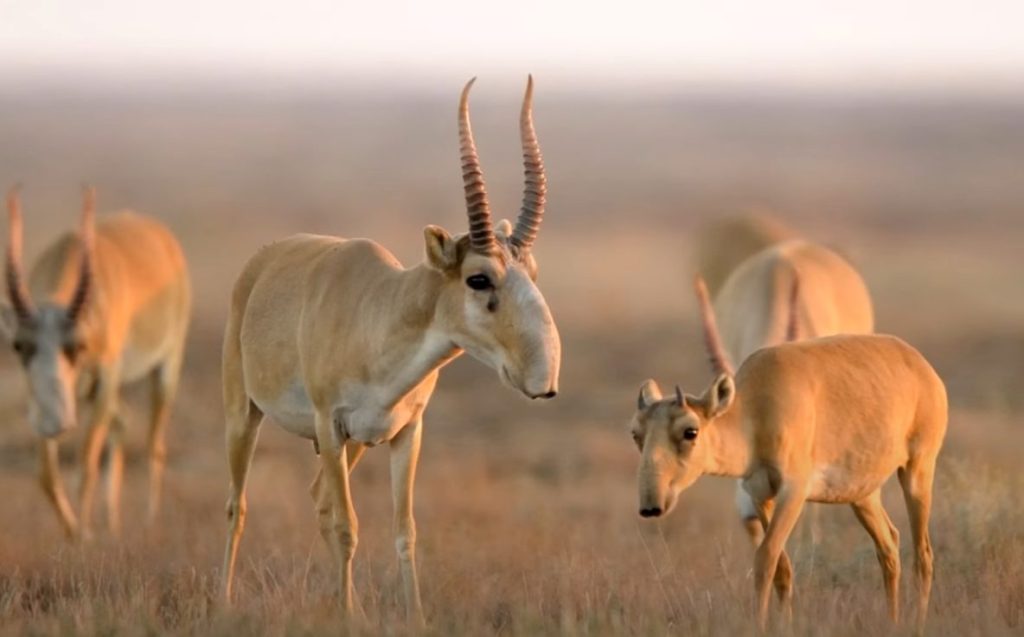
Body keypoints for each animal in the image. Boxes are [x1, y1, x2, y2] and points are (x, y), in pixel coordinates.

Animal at [1, 186, 191, 541]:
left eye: (77, 345)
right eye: (19, 345)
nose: (56, 422)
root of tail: (162, 238)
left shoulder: (105, 377)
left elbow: (87, 463)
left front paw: (86, 535)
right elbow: (46, 474)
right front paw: (74, 534)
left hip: (165, 368)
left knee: (154, 445)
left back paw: (150, 523)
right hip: (89, 392)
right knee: (124, 422)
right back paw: (113, 522)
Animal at [219, 77, 561, 623]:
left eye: (532, 271)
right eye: (478, 277)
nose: (543, 377)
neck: (380, 314)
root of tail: (262, 262)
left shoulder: (406, 434)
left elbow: (405, 532)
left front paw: (411, 616)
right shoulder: (330, 426)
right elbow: (348, 526)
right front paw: (346, 618)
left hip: (356, 444)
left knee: (318, 499)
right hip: (245, 416)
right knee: (239, 504)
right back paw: (224, 599)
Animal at [629, 277, 946, 633]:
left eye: (690, 431)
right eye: (636, 433)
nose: (651, 506)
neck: (755, 410)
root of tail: (920, 365)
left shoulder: (793, 492)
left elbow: (765, 557)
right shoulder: (760, 494)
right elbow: (781, 567)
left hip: (918, 471)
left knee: (923, 554)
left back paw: (916, 624)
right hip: (862, 494)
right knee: (889, 546)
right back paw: (892, 621)